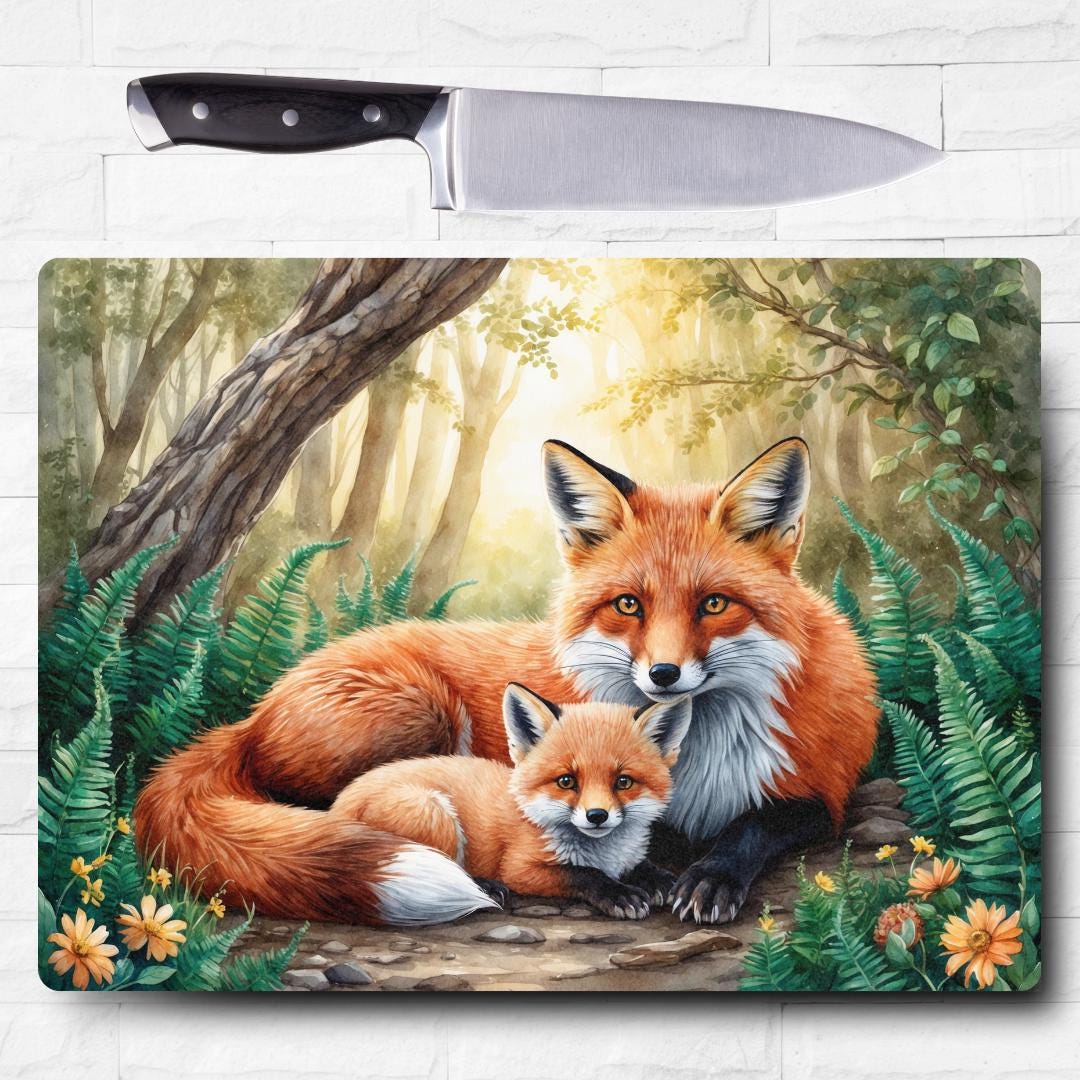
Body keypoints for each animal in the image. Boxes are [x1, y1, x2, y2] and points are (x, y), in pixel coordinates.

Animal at [325, 685, 691, 924]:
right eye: (566, 781)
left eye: (623, 782)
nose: (597, 816)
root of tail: (342, 802)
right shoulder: (521, 868)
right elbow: (581, 873)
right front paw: (619, 893)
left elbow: (640, 865)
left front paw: (661, 880)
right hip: (433, 812)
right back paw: (484, 886)